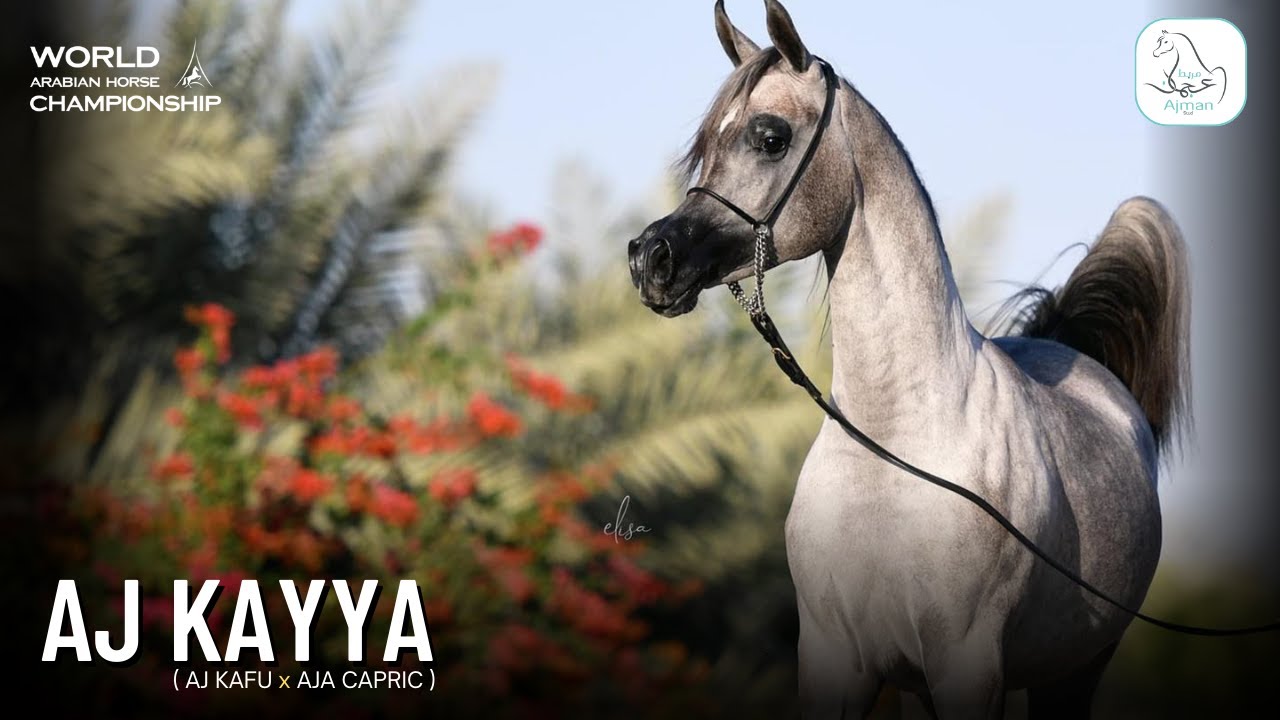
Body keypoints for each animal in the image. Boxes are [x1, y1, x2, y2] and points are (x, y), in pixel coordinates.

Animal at [627, 2, 1190, 717]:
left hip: (1074, 674)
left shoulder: (967, 672)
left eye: (770, 137)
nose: (651, 260)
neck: (895, 444)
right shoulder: (839, 664)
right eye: (706, 146)